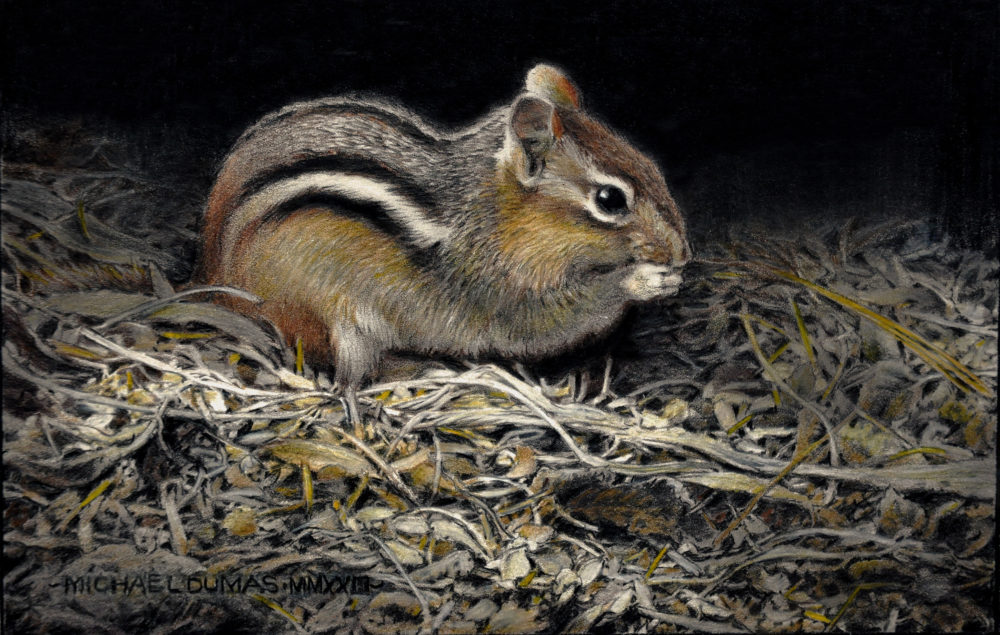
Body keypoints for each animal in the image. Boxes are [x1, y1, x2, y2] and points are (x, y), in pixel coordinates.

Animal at [198, 64, 690, 419]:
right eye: (610, 199)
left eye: (650, 164)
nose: (684, 254)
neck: (491, 213)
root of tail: (216, 284)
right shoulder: (499, 290)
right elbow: (557, 318)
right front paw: (643, 281)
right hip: (334, 314)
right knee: (351, 381)